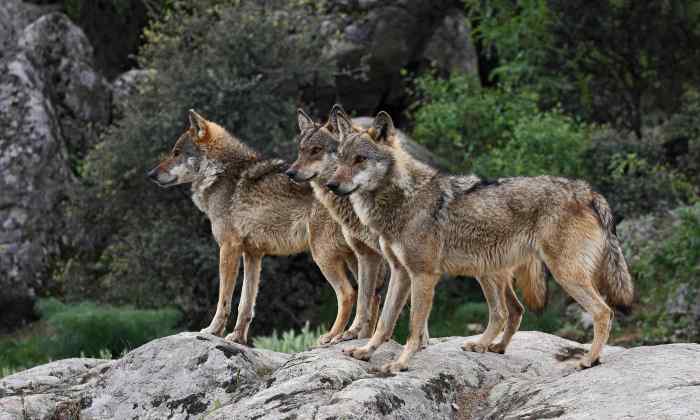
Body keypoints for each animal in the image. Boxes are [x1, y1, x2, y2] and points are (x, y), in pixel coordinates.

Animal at [148, 109, 362, 345]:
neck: (219, 173)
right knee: (371, 295)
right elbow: (246, 303)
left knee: (349, 294)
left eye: (176, 153)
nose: (150, 174)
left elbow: (224, 299)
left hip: (322, 256)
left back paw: (333, 336)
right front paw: (237, 337)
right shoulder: (253, 255)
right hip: (354, 257)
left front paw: (213, 331)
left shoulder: (228, 248)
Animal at [287, 105, 549, 349]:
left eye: (316, 150)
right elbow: (366, 300)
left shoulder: (405, 261)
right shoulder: (367, 256)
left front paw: (418, 340)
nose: (290, 172)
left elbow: (402, 304)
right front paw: (355, 335)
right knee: (516, 308)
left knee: (509, 308)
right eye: (300, 151)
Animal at [326, 110, 633, 373]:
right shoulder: (401, 273)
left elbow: (414, 327)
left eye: (360, 159)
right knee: (504, 313)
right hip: (488, 271)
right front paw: (365, 351)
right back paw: (488, 346)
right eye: (340, 159)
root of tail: (588, 191)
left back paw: (589, 360)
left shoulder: (424, 275)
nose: (331, 185)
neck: (403, 198)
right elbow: (385, 321)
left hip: (563, 275)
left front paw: (400, 364)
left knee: (603, 312)